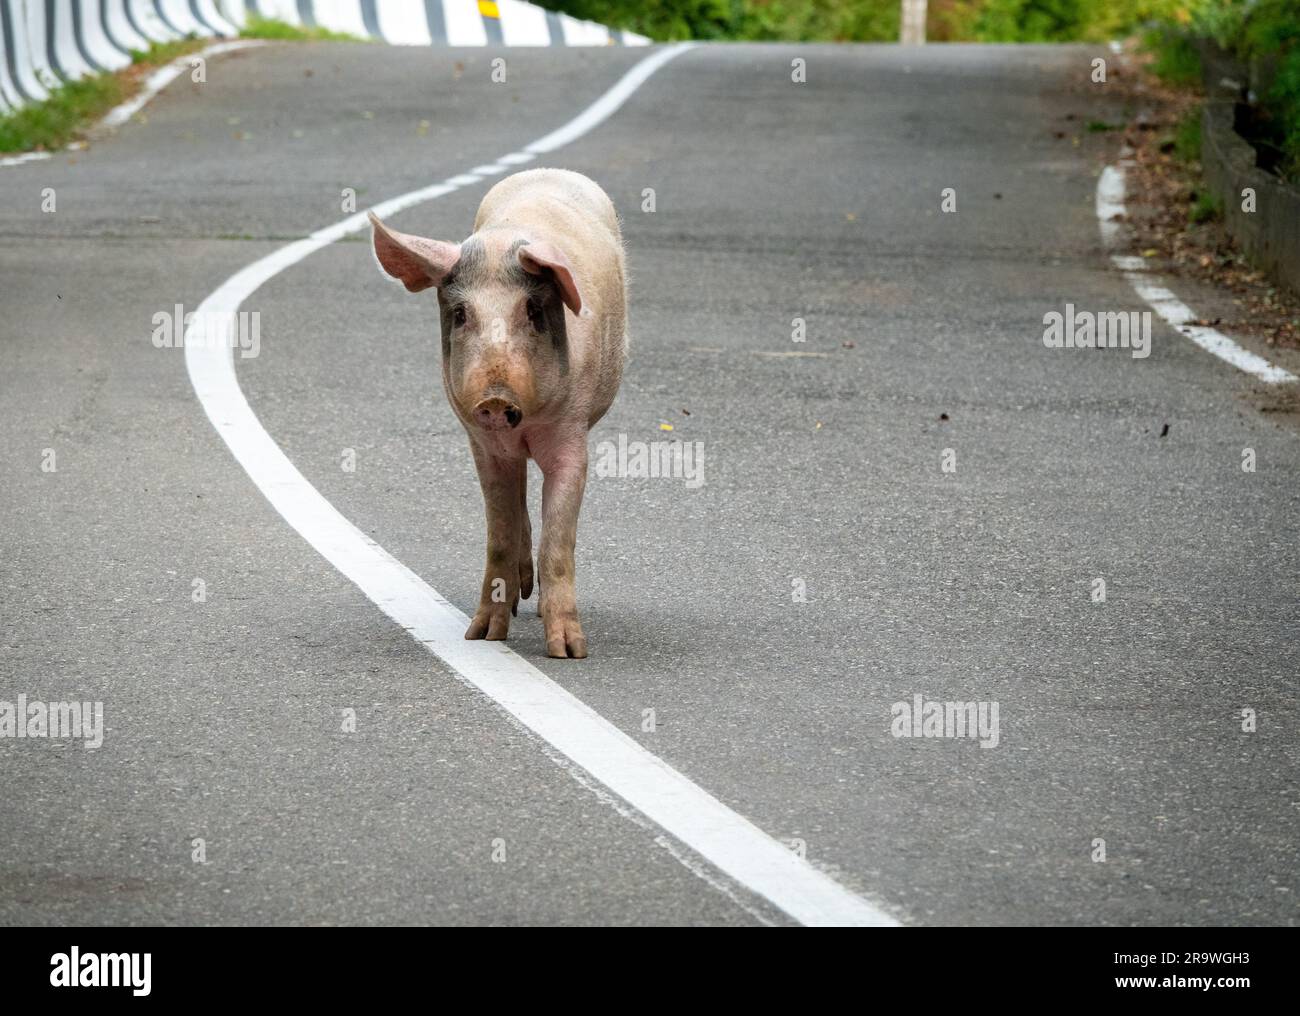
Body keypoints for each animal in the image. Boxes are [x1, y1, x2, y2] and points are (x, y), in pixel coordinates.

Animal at [368, 168, 628, 659]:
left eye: (532, 309)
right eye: (460, 313)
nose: (495, 398)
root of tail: (549, 171)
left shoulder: (572, 431)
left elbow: (558, 540)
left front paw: (569, 652)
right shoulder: (483, 443)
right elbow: (499, 536)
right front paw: (482, 636)